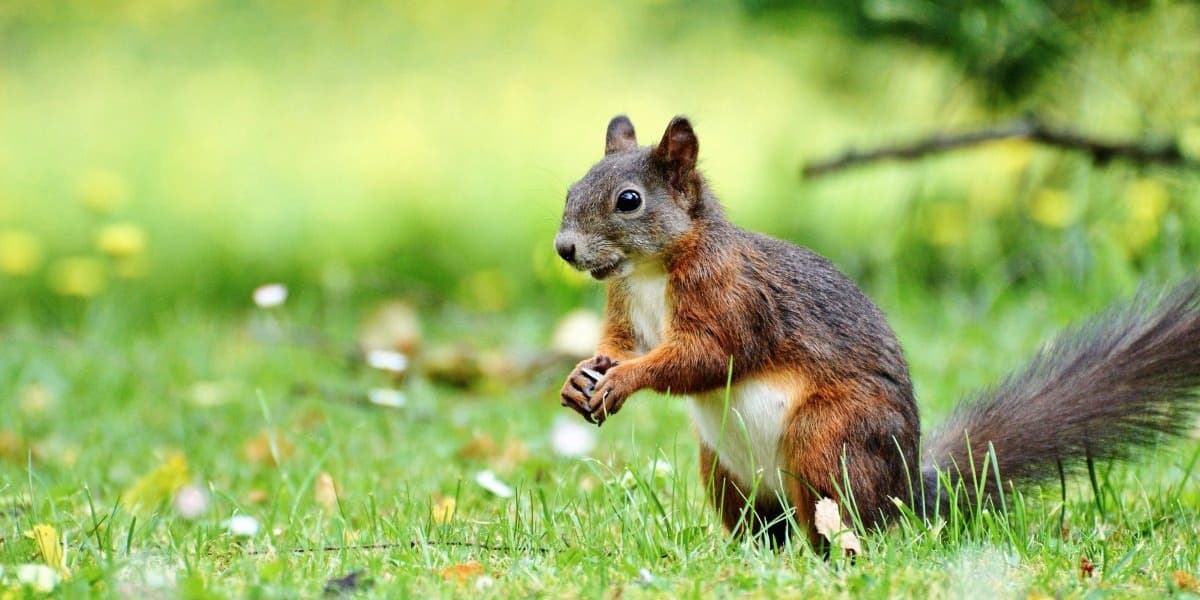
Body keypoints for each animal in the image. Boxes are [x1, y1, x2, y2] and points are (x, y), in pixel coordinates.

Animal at [554, 114, 1200, 546]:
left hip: (827, 440)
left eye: (629, 201)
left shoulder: (734, 299)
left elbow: (705, 357)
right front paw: (581, 376)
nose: (564, 249)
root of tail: (907, 494)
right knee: (764, 527)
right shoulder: (624, 307)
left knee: (839, 521)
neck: (649, 272)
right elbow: (618, 344)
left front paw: (625, 380)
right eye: (571, 189)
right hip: (724, 471)